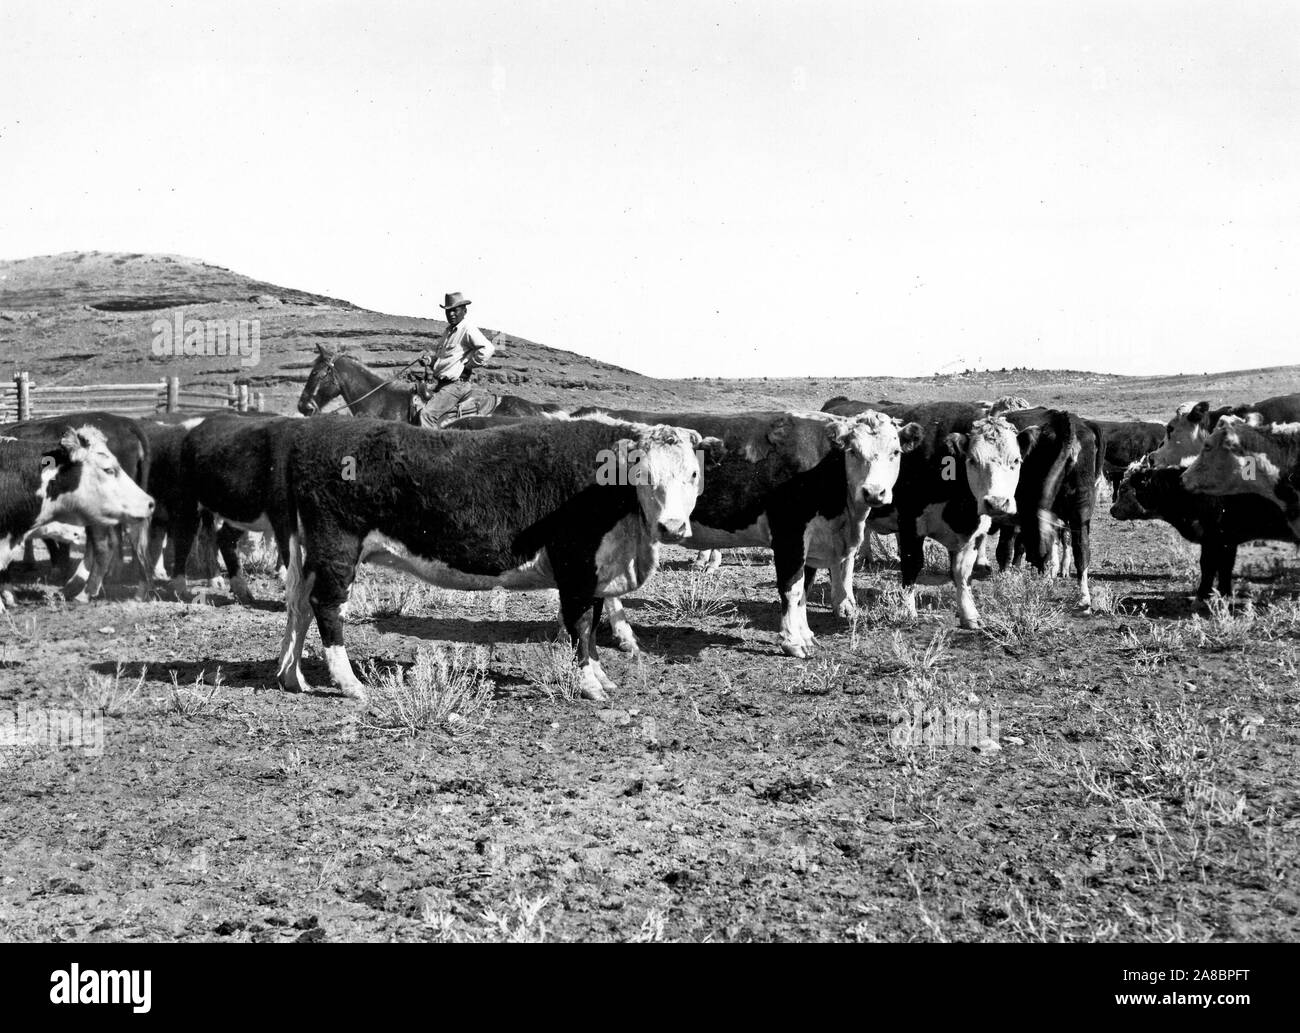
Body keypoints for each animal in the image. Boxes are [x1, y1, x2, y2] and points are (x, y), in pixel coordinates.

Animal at [277, 415, 718, 701]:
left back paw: (290, 677)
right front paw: (591, 685)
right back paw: (350, 684)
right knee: (326, 607)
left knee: (298, 604)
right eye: (645, 474)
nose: (672, 527)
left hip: (314, 553)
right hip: (337, 548)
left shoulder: (596, 574)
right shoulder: (575, 568)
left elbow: (593, 627)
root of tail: (313, 434)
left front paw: (601, 676)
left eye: (693, 475)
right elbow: (579, 626)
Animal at [570, 408, 922, 656]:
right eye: (853, 452)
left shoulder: (811, 541)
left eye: (895, 452)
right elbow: (791, 589)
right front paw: (793, 642)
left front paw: (806, 634)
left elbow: (804, 588)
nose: (874, 493)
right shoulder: (789, 533)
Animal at [823, 398, 1024, 628]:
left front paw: (970, 615)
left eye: (1016, 461)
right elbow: (912, 564)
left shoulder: (973, 532)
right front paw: (908, 610)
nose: (997, 503)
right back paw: (842, 602)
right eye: (973, 460)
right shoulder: (911, 525)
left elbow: (963, 574)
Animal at [1111, 461, 1297, 600]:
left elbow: (1211, 566)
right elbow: (1221, 567)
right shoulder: (1223, 542)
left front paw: (1205, 595)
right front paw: (1221, 593)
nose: (1112, 510)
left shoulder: (1218, 540)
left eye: (1124, 489)